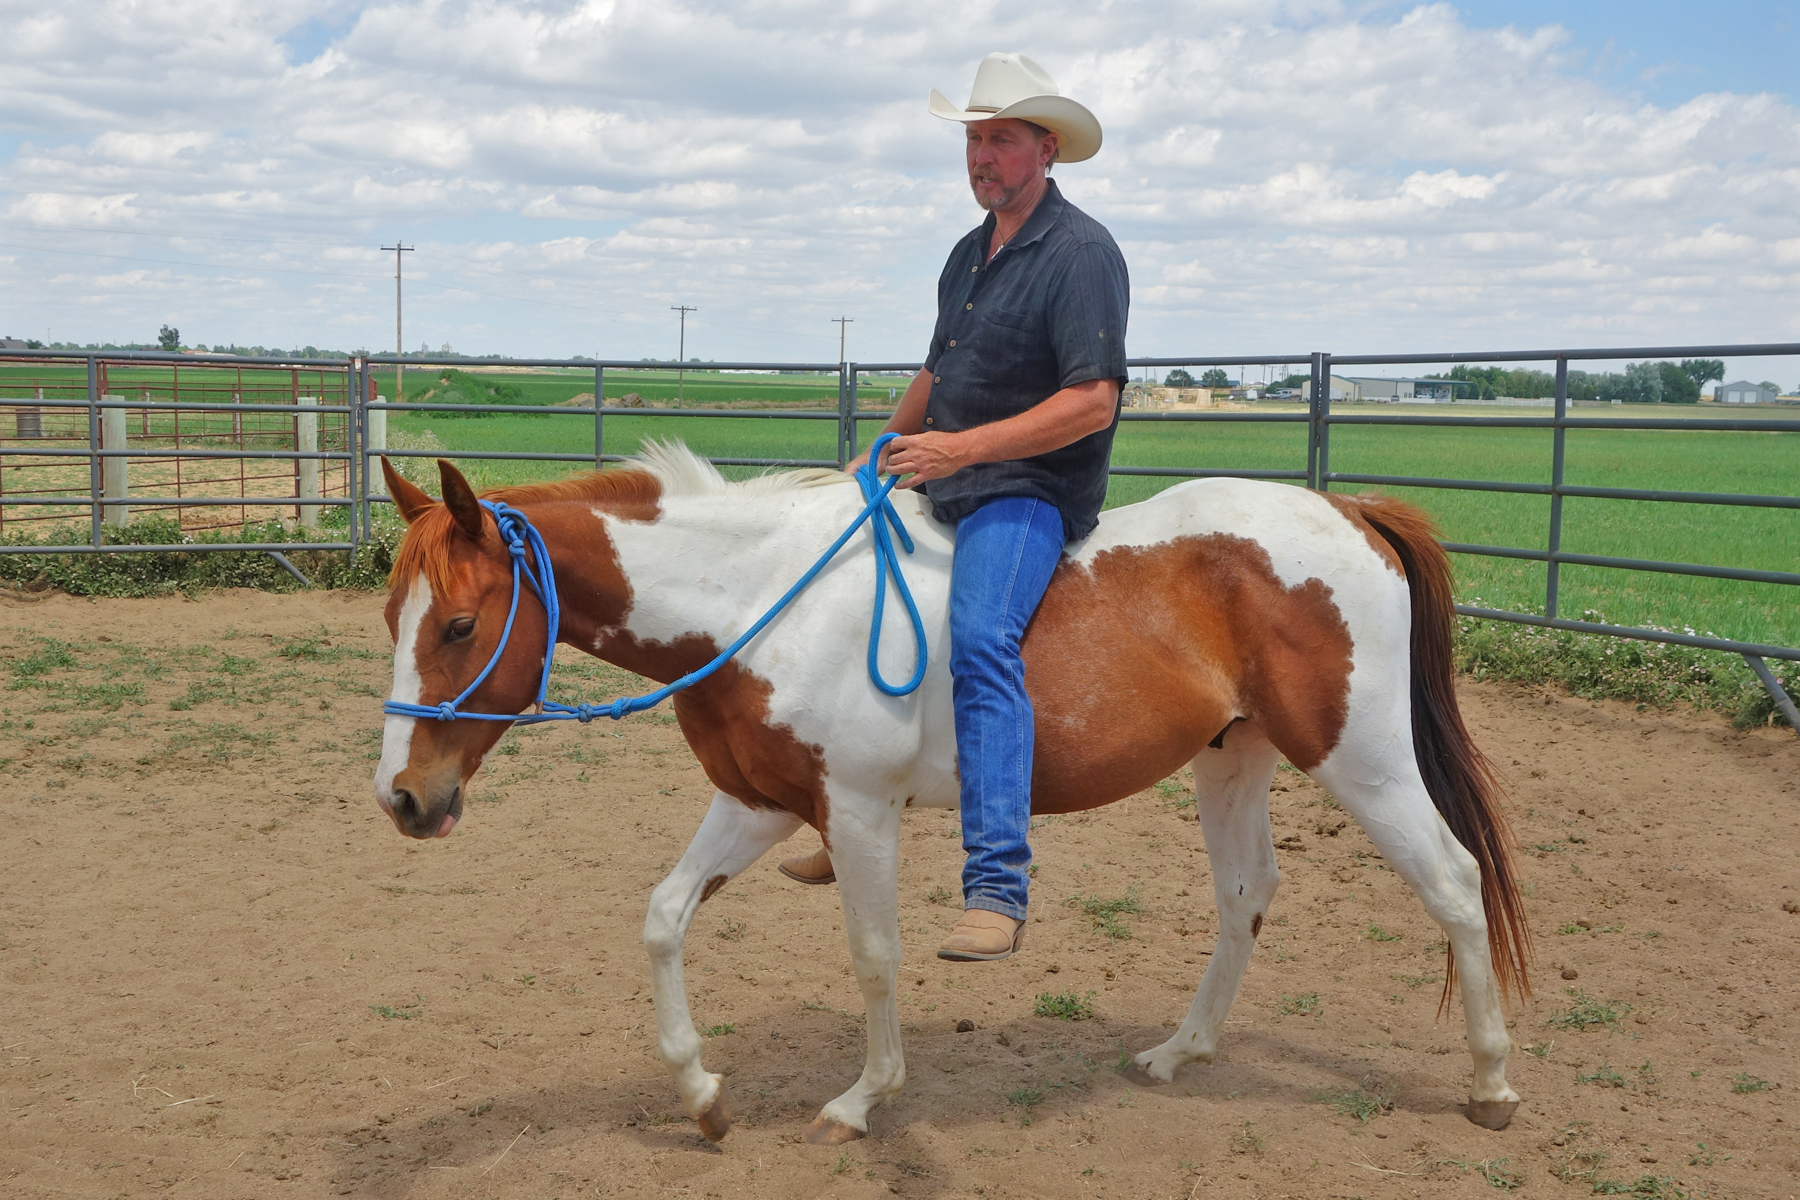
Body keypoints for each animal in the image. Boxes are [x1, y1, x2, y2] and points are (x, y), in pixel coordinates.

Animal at [371, 445, 1531, 1145]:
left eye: (461, 625)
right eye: (394, 614)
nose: (404, 799)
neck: (760, 601)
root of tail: (1349, 511)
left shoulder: (858, 813)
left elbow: (874, 956)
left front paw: (859, 1101)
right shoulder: (760, 804)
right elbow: (663, 916)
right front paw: (700, 1096)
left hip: (1363, 758)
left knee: (1453, 881)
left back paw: (1491, 1084)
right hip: (1231, 758)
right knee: (1245, 896)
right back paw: (1178, 1051)